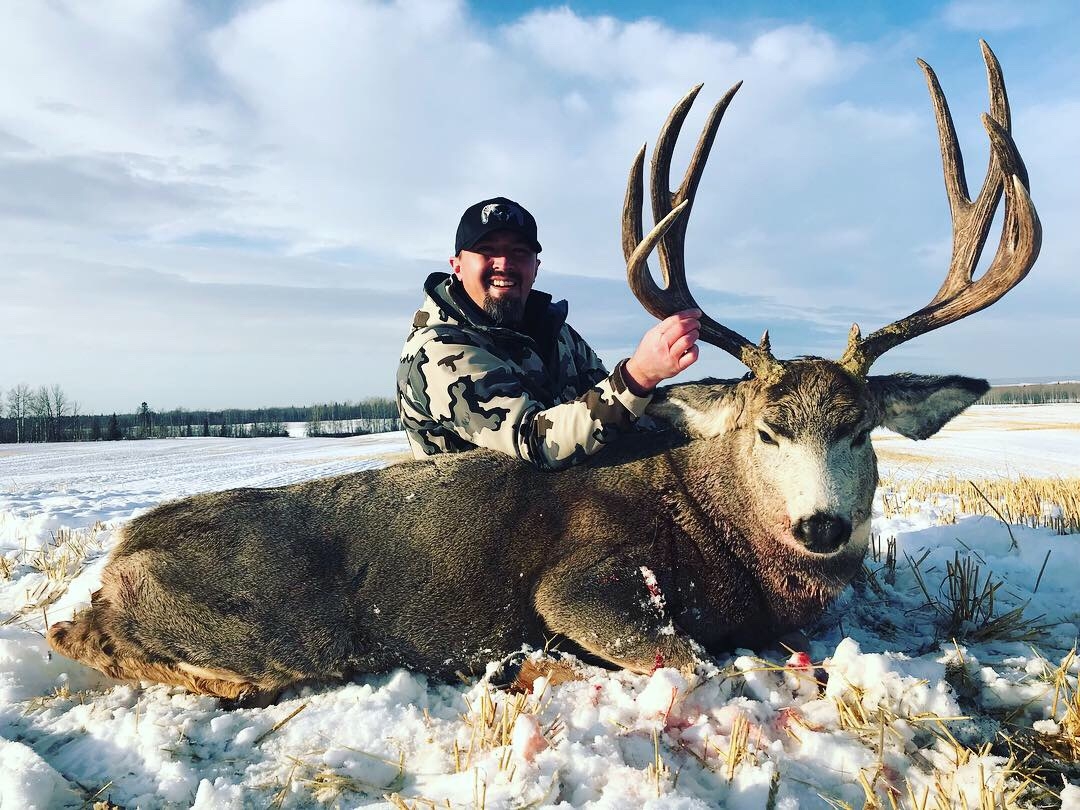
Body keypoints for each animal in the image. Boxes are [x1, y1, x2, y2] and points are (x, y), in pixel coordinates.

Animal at [47, 42, 1039, 701]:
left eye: (860, 428)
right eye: (766, 429)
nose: (825, 525)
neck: (730, 538)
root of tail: (118, 556)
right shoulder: (582, 582)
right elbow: (698, 660)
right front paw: (539, 664)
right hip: (257, 629)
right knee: (80, 635)